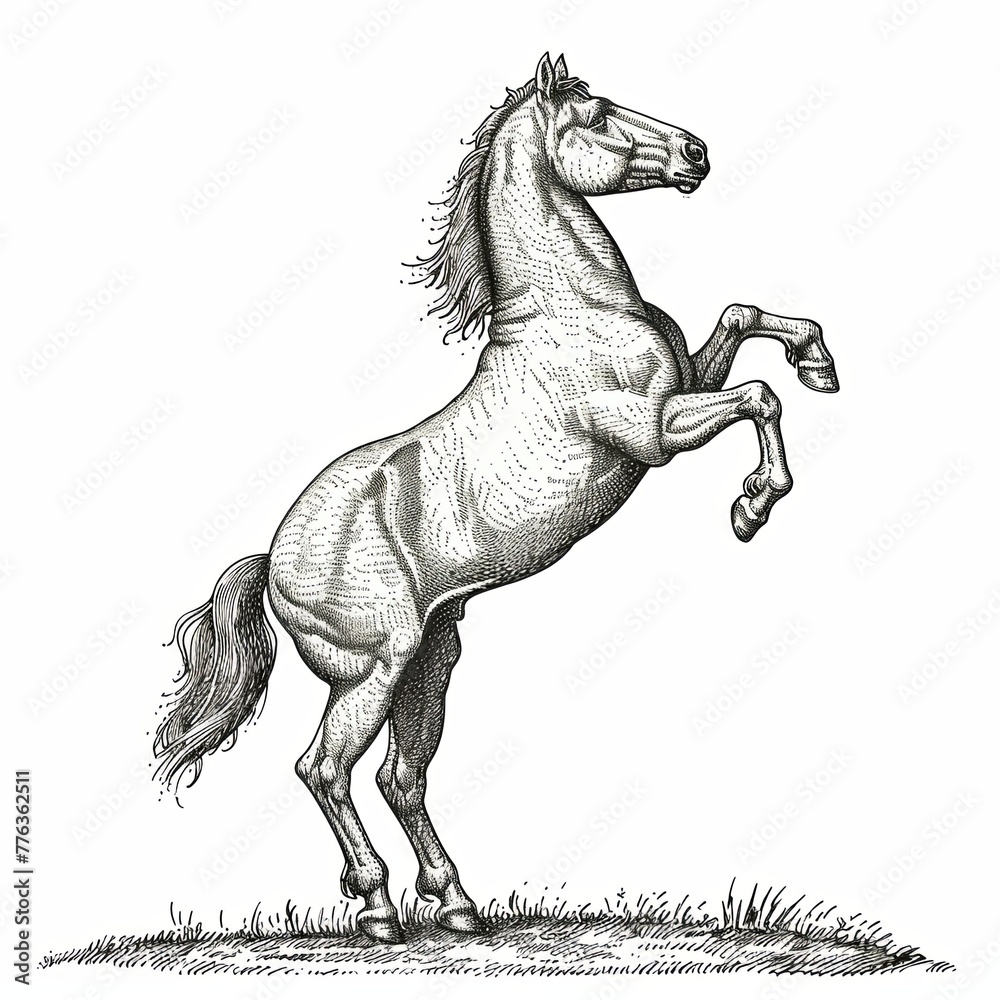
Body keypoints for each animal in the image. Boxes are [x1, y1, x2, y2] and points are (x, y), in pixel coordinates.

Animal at [153, 52, 839, 945]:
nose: (696, 152)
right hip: (373, 670)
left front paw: (819, 362)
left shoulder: (688, 378)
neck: (572, 308)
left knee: (400, 776)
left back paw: (457, 904)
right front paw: (753, 506)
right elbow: (758, 398)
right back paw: (378, 908)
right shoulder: (656, 432)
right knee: (325, 768)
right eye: (597, 113)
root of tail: (272, 559)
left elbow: (741, 315)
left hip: (429, 661)